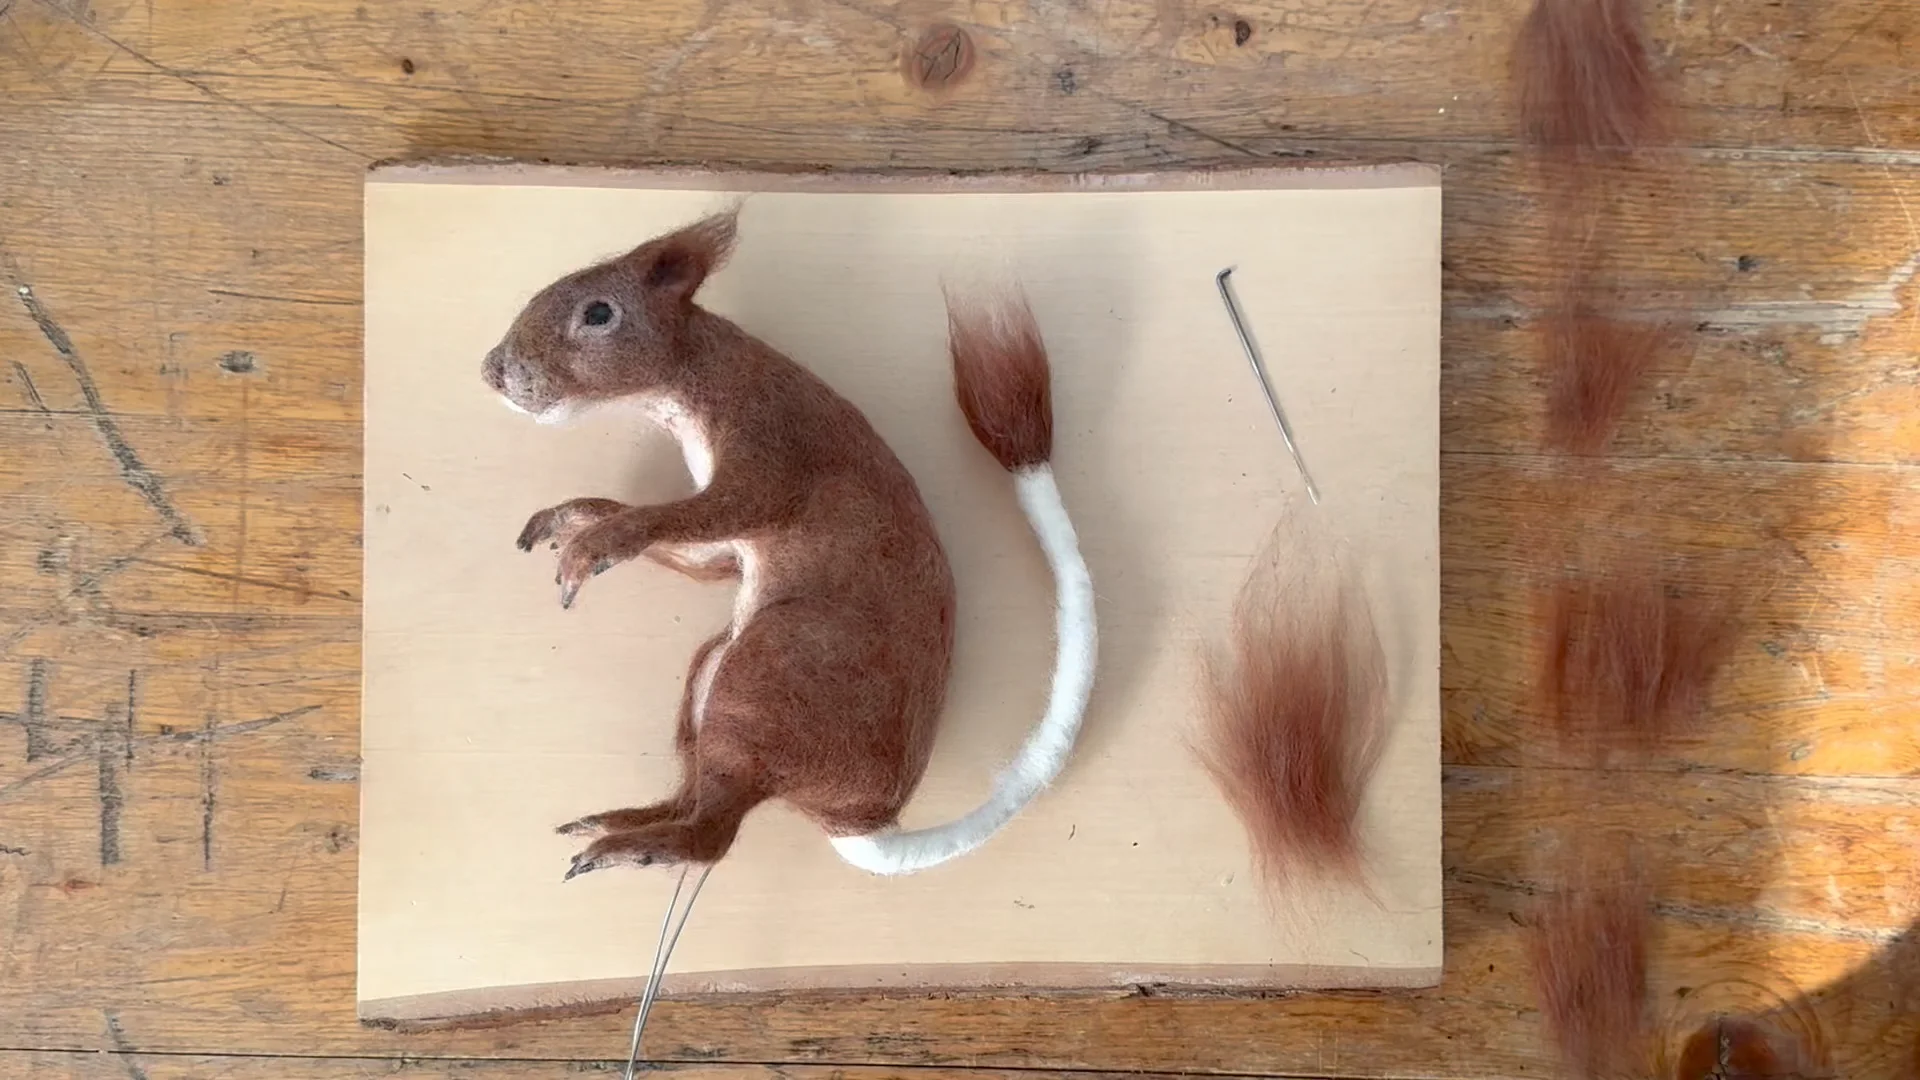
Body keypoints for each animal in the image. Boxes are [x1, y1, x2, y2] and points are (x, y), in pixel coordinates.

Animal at [481, 209, 1096, 878]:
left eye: (598, 313)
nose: (493, 369)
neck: (699, 374)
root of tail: (858, 821)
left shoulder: (772, 451)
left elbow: (683, 516)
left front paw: (588, 550)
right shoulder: (725, 541)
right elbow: (694, 549)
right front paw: (567, 519)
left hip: (768, 676)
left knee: (712, 835)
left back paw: (626, 849)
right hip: (712, 678)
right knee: (693, 798)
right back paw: (617, 823)